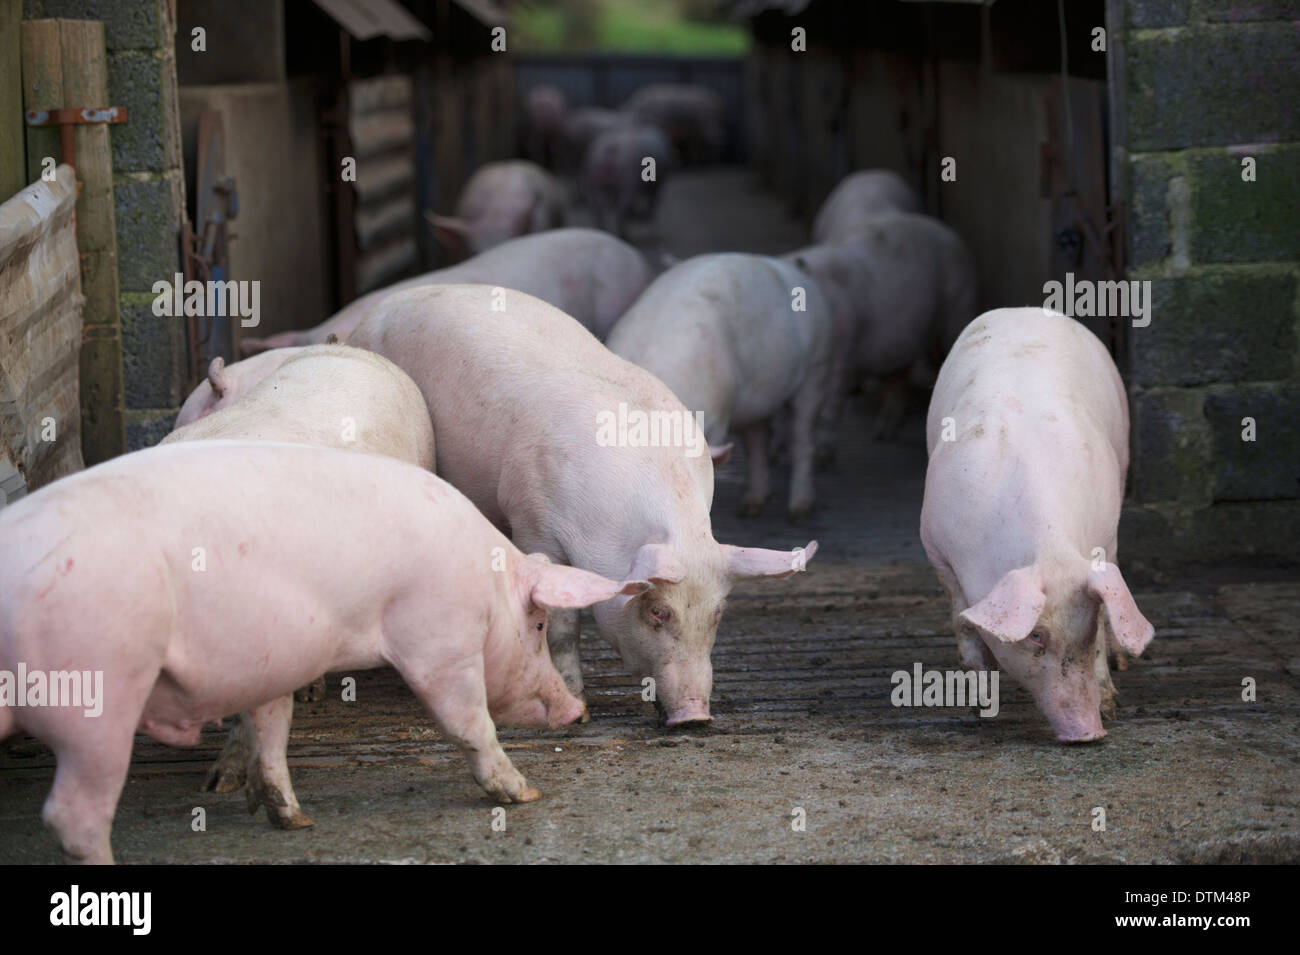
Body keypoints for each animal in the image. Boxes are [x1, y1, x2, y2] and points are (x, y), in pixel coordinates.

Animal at [0, 440, 645, 863]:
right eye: (536, 623)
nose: (571, 711)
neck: (482, 582)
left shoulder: (272, 662)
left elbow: (273, 731)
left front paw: (292, 820)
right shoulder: (438, 641)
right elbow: (470, 724)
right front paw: (526, 793)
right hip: (97, 698)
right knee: (72, 814)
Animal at [348, 284, 817, 727]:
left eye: (717, 615)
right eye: (658, 611)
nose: (696, 716)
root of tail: (383, 306)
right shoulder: (533, 523)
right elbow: (562, 626)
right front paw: (582, 711)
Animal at [607, 253, 832, 520]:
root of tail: (801, 275)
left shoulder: (717, 417)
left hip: (817, 367)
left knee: (803, 437)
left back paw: (798, 510)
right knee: (756, 439)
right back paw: (751, 507)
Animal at [786, 211, 977, 446]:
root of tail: (953, 237)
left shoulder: (843, 354)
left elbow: (829, 407)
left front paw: (823, 451)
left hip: (960, 304)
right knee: (899, 379)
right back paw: (883, 433)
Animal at [920, 307, 1155, 743]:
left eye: (1088, 625)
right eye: (1036, 635)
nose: (1089, 732)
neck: (1049, 546)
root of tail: (1025, 310)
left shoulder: (1100, 545)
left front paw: (1111, 705)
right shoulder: (937, 548)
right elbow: (963, 621)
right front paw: (982, 708)